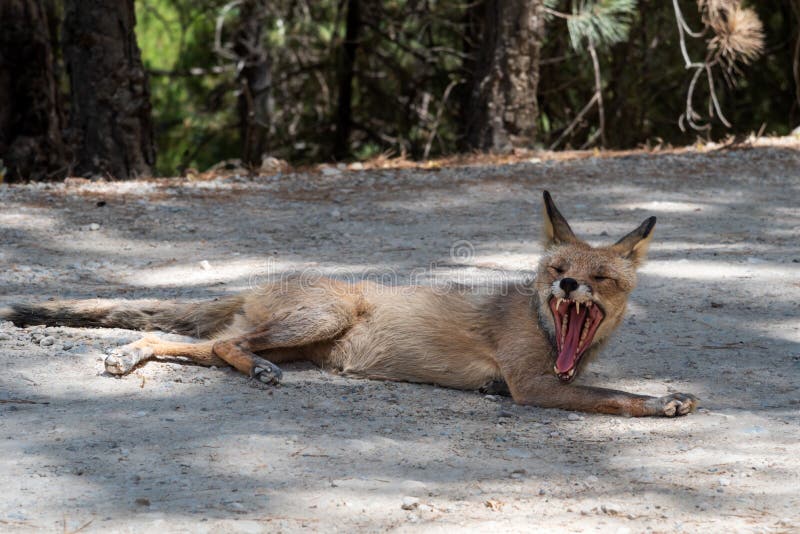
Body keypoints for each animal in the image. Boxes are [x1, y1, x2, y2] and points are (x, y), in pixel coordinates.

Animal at [1, 192, 697, 417]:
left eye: (599, 277)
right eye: (557, 270)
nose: (567, 290)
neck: (546, 328)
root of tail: (264, 281)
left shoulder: (552, 377)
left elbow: (606, 386)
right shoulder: (532, 386)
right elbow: (618, 398)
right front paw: (661, 402)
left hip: (301, 340)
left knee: (190, 344)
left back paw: (139, 355)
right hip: (318, 318)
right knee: (218, 342)